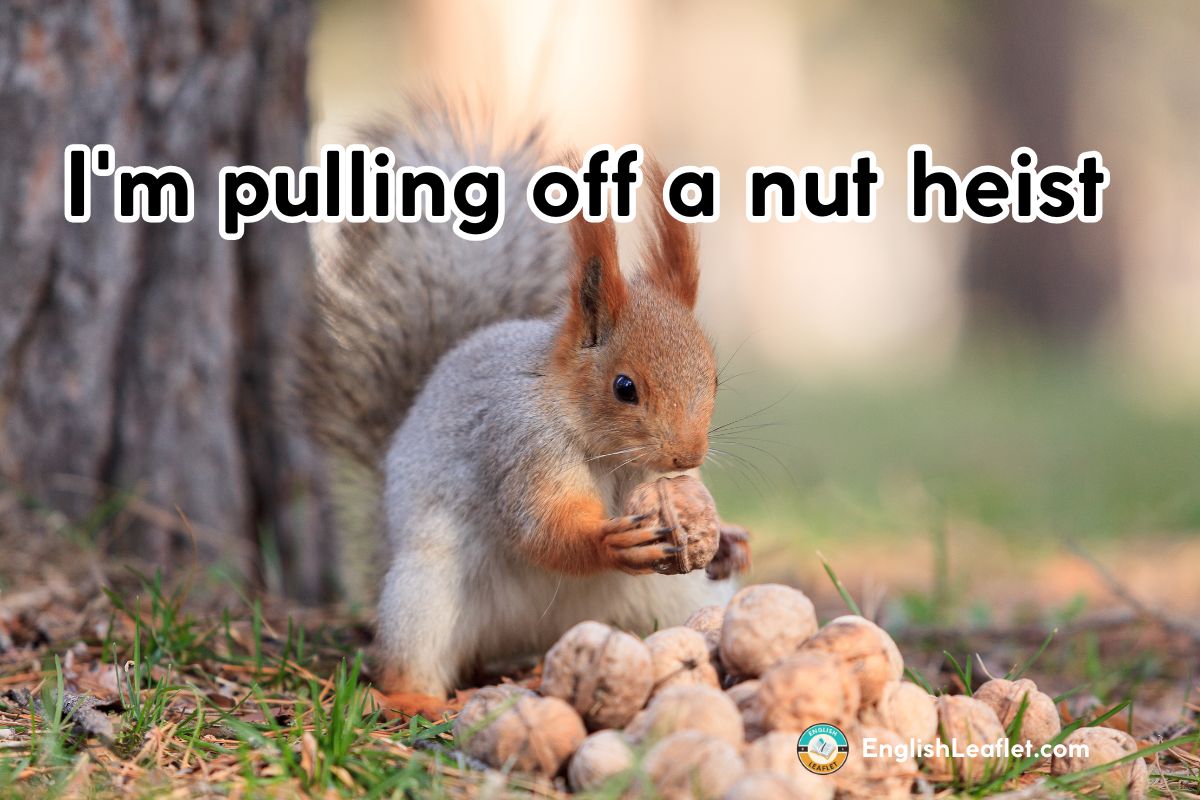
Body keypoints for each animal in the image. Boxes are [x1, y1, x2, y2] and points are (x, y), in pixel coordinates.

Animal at [300, 100, 750, 701]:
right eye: (624, 387)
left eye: (715, 379)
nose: (688, 456)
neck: (605, 448)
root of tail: (532, 637)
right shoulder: (520, 441)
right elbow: (543, 528)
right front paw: (609, 545)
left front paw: (729, 540)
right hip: (429, 590)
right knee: (409, 656)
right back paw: (416, 700)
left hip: (674, 597)